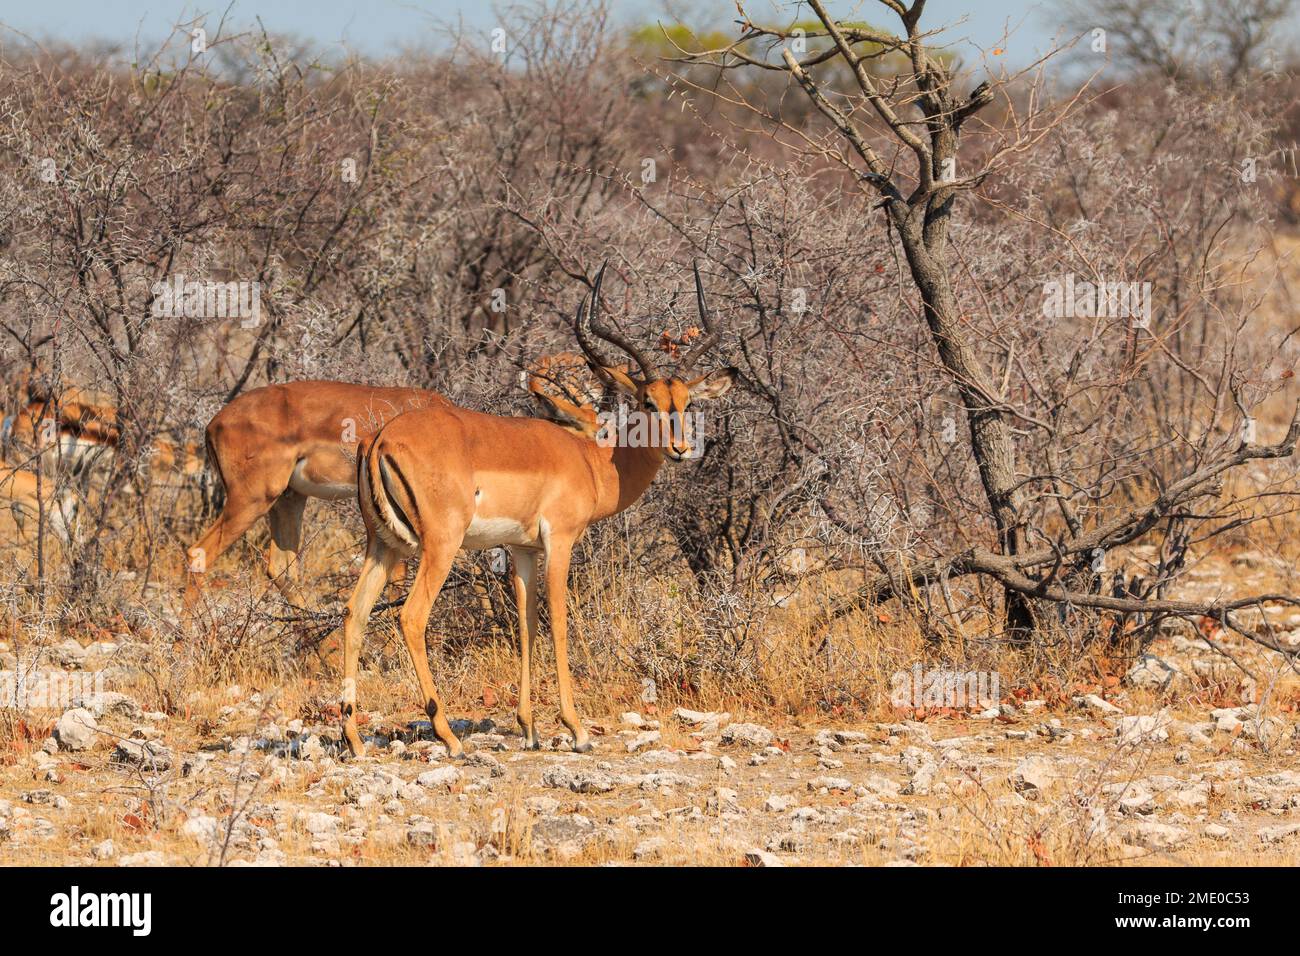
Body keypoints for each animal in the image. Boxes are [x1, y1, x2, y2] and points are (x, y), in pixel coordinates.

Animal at [337, 264, 736, 757]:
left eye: (687, 402)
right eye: (648, 402)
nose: (680, 448)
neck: (593, 461)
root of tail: (379, 439)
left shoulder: (523, 550)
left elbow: (526, 624)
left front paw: (530, 729)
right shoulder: (560, 541)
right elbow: (558, 622)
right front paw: (577, 729)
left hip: (384, 545)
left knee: (354, 614)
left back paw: (354, 738)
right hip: (440, 545)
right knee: (410, 617)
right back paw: (448, 735)